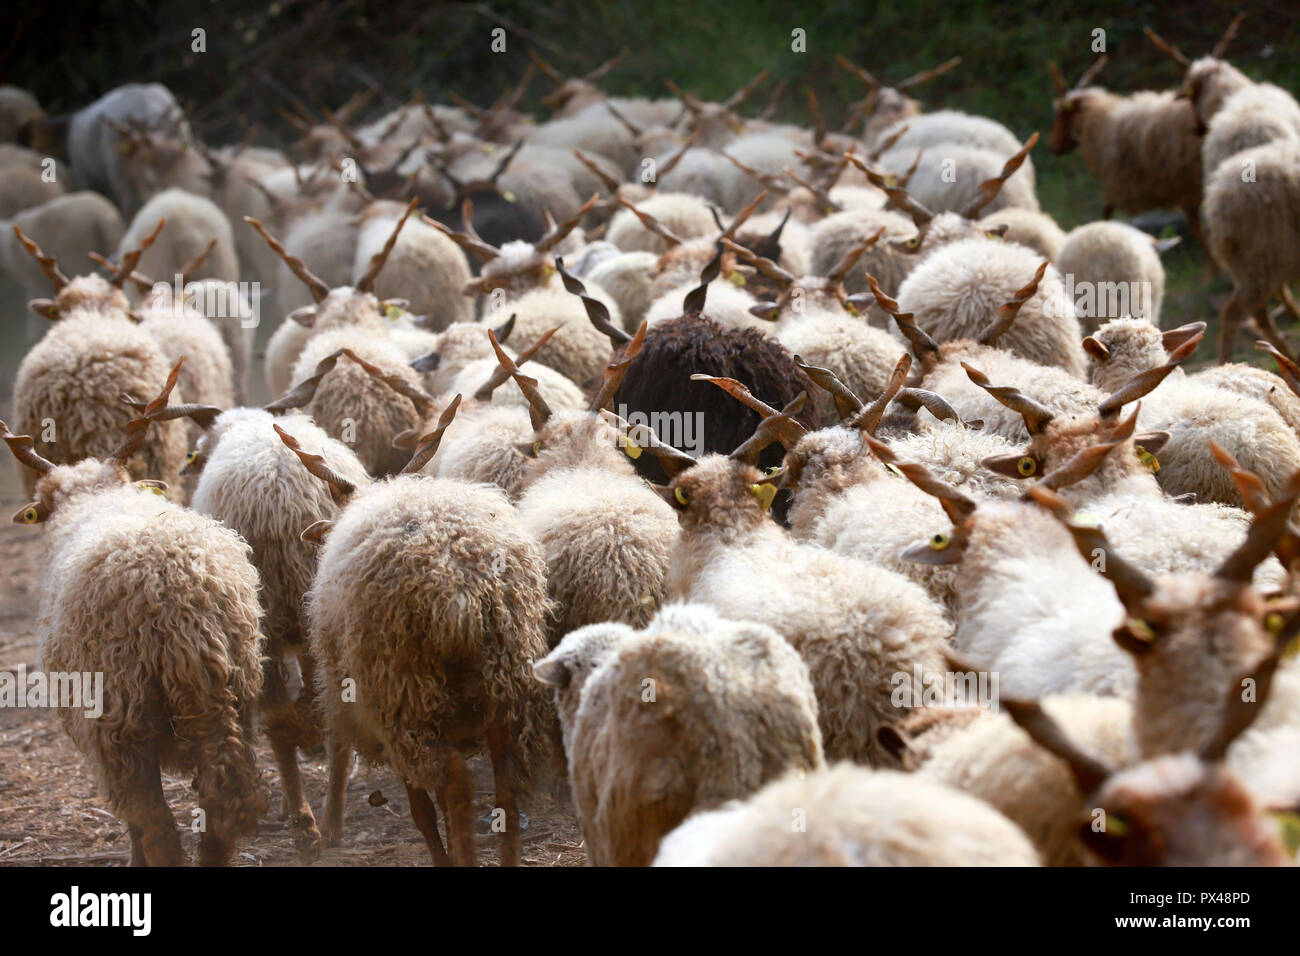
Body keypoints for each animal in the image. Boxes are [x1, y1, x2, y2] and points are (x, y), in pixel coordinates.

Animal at [0, 366, 267, 865]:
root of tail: (172, 588)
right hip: (227, 696)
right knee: (223, 801)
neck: (93, 498)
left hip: (118, 710)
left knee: (154, 820)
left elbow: (133, 820)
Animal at [277, 407, 556, 866]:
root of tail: (460, 586)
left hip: (403, 696)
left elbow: (423, 810)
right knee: (506, 792)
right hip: (506, 685)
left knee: (454, 788)